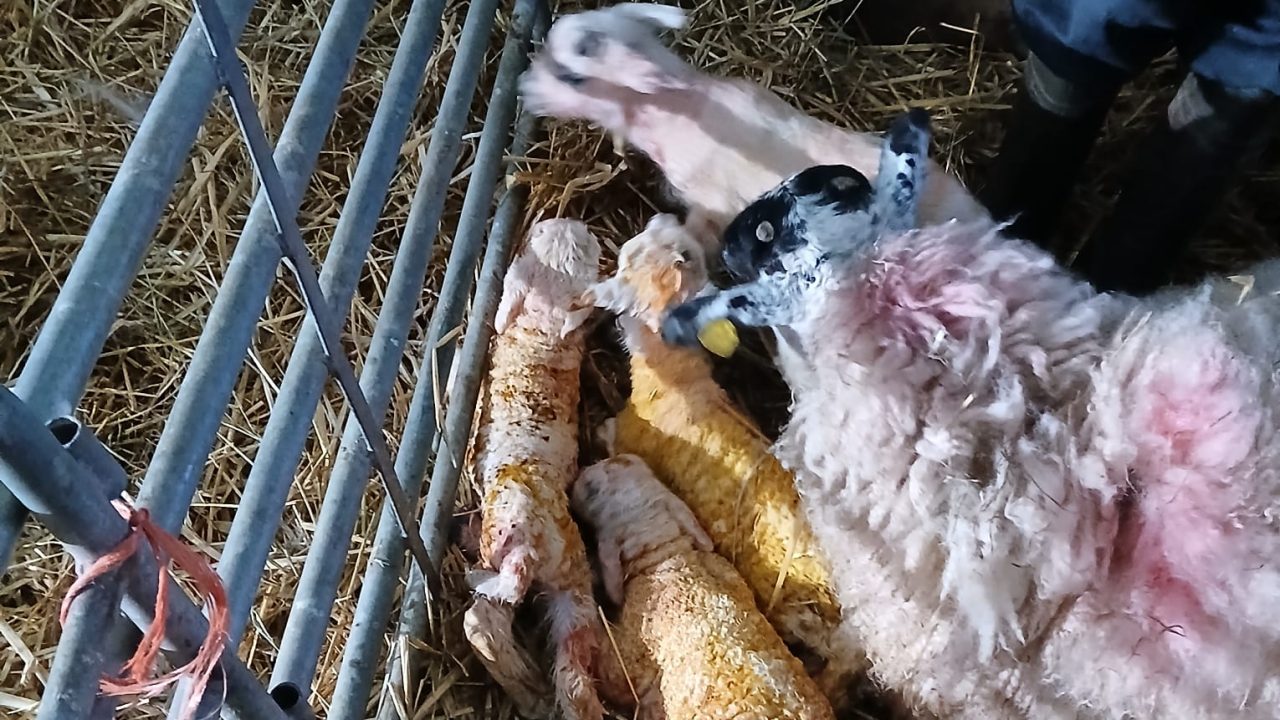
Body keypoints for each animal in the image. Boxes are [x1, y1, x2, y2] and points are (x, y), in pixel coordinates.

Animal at [463, 218, 608, 720]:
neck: (541, 335)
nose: (569, 222)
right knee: (575, 678)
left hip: (500, 540)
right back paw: (535, 694)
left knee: (482, 617)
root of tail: (534, 548)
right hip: (573, 589)